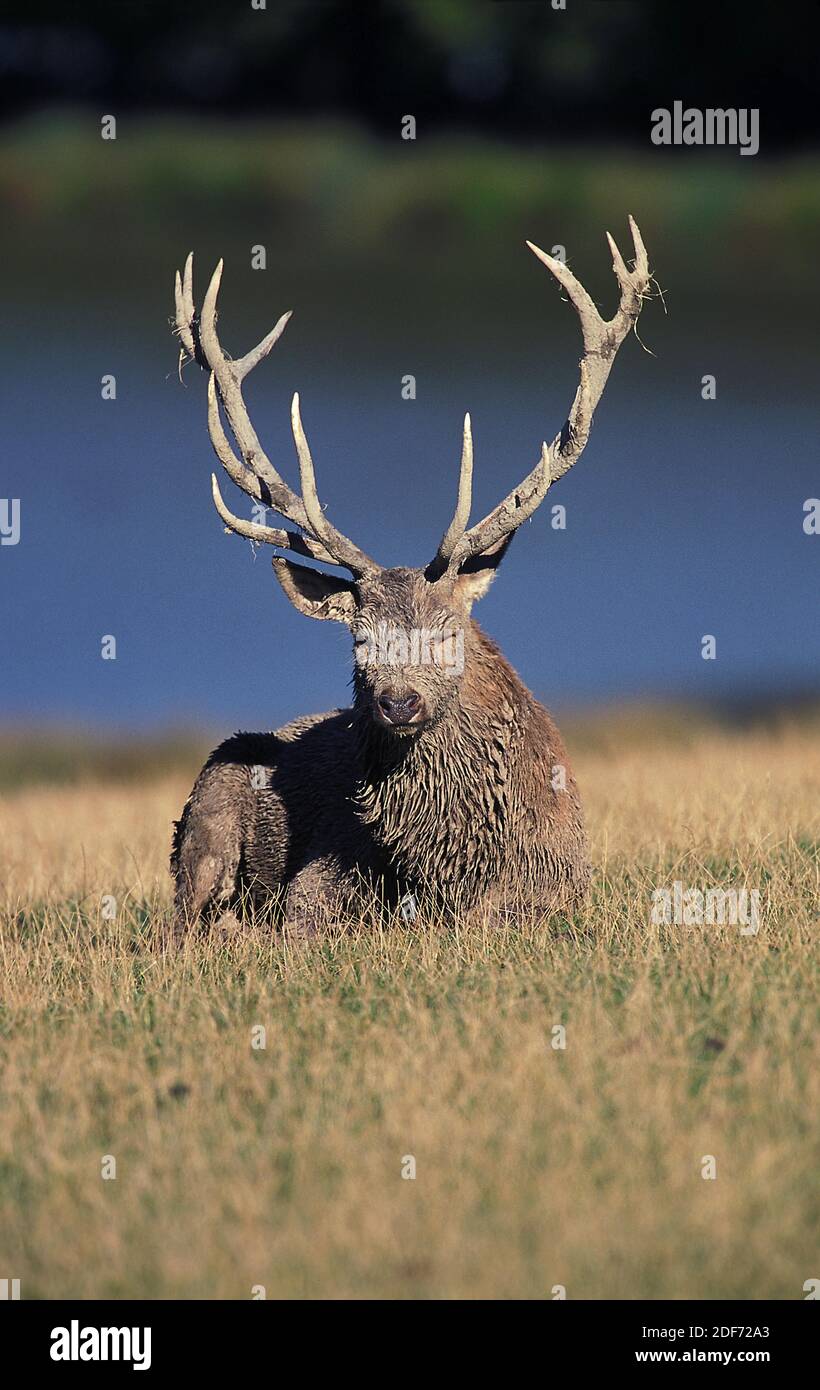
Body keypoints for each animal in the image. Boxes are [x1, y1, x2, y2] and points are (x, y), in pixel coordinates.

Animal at [170, 218, 650, 935]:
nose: (399, 702)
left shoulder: (559, 886)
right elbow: (302, 916)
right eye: (359, 638)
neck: (450, 869)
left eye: (449, 633)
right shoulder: (319, 873)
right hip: (206, 806)